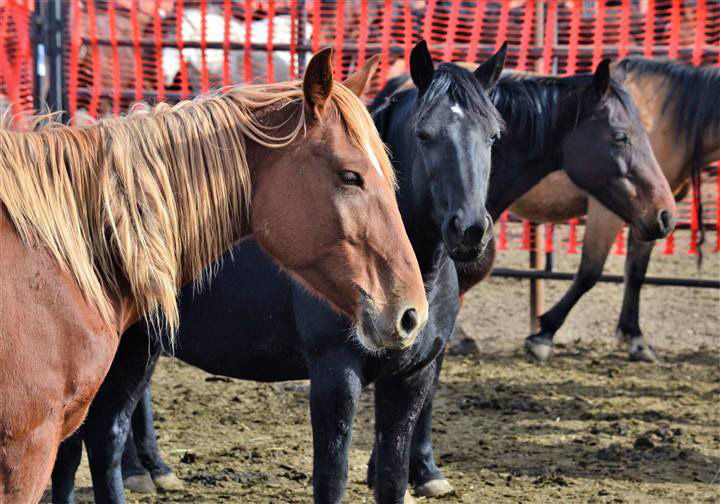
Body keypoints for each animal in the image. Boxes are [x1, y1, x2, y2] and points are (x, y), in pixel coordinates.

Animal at [50, 40, 507, 504]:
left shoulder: (412, 379)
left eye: (493, 135)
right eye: (424, 135)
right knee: (94, 439)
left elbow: (393, 478)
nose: (470, 230)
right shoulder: (335, 377)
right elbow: (331, 479)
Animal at [493, 57, 720, 363]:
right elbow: (590, 271)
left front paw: (635, 338)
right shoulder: (608, 210)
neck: (670, 114)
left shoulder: (648, 215)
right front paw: (543, 334)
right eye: (621, 137)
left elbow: (636, 272)